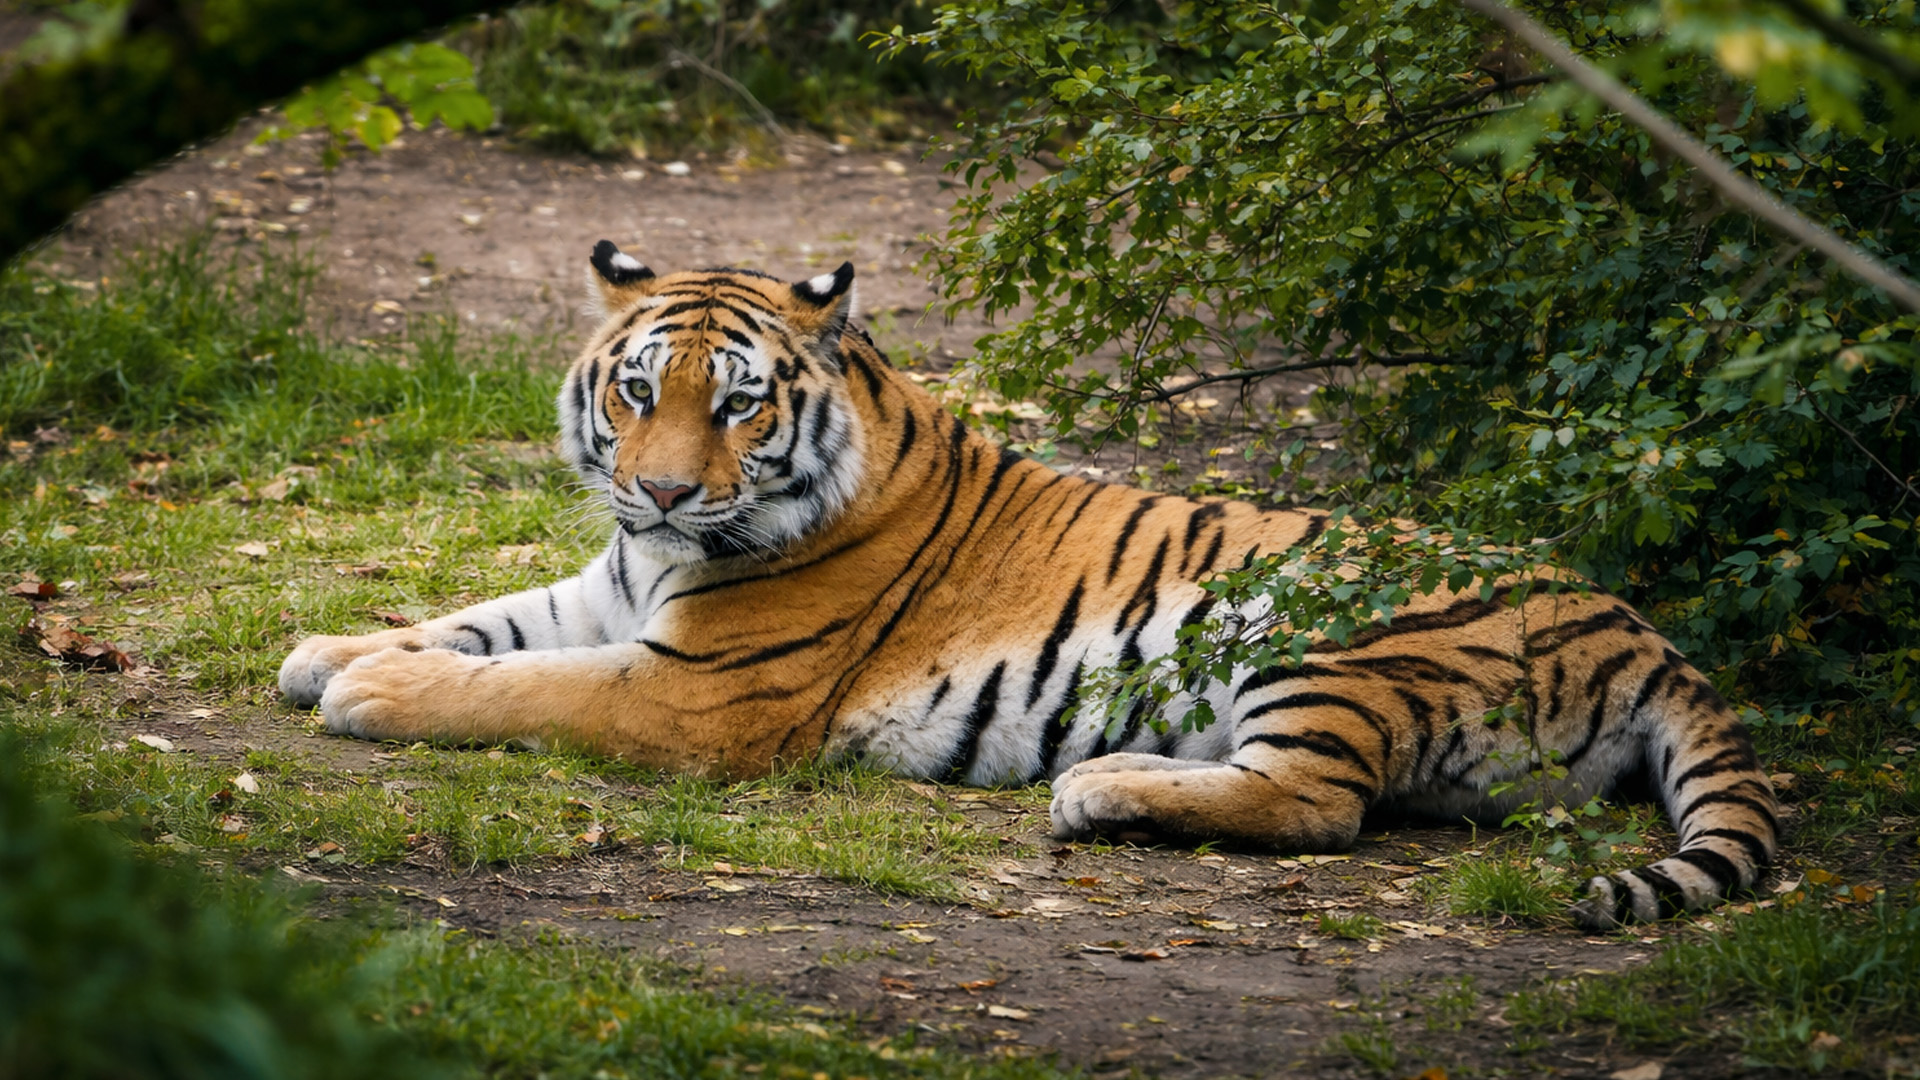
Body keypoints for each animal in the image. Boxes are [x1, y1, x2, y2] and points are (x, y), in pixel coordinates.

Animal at [279, 242, 1779, 931]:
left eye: (740, 407)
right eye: (640, 393)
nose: (656, 491)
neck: (665, 558)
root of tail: (1642, 627)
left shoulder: (693, 694)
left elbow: (521, 686)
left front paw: (371, 691)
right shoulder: (615, 594)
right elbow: (485, 621)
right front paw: (329, 646)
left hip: (1328, 631)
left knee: (1321, 806)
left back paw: (1102, 793)